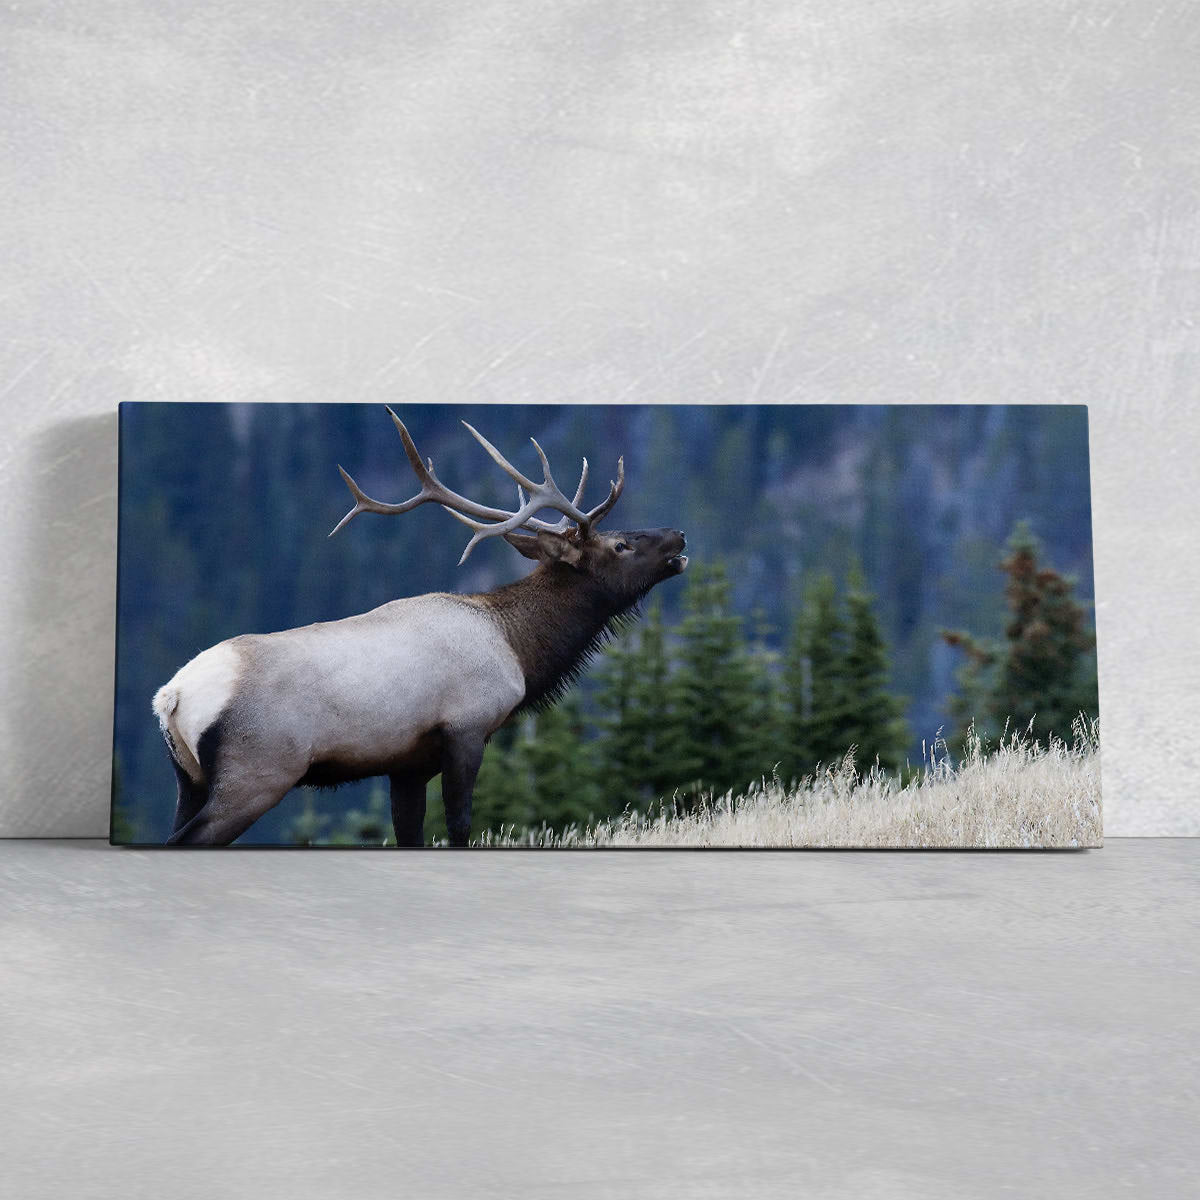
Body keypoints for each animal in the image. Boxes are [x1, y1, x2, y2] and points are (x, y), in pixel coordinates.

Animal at [153, 408, 688, 847]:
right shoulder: (467, 728)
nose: (679, 535)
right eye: (620, 545)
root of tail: (171, 697)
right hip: (257, 772)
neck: (518, 648)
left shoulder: (406, 764)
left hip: (189, 778)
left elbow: (408, 832)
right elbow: (459, 825)